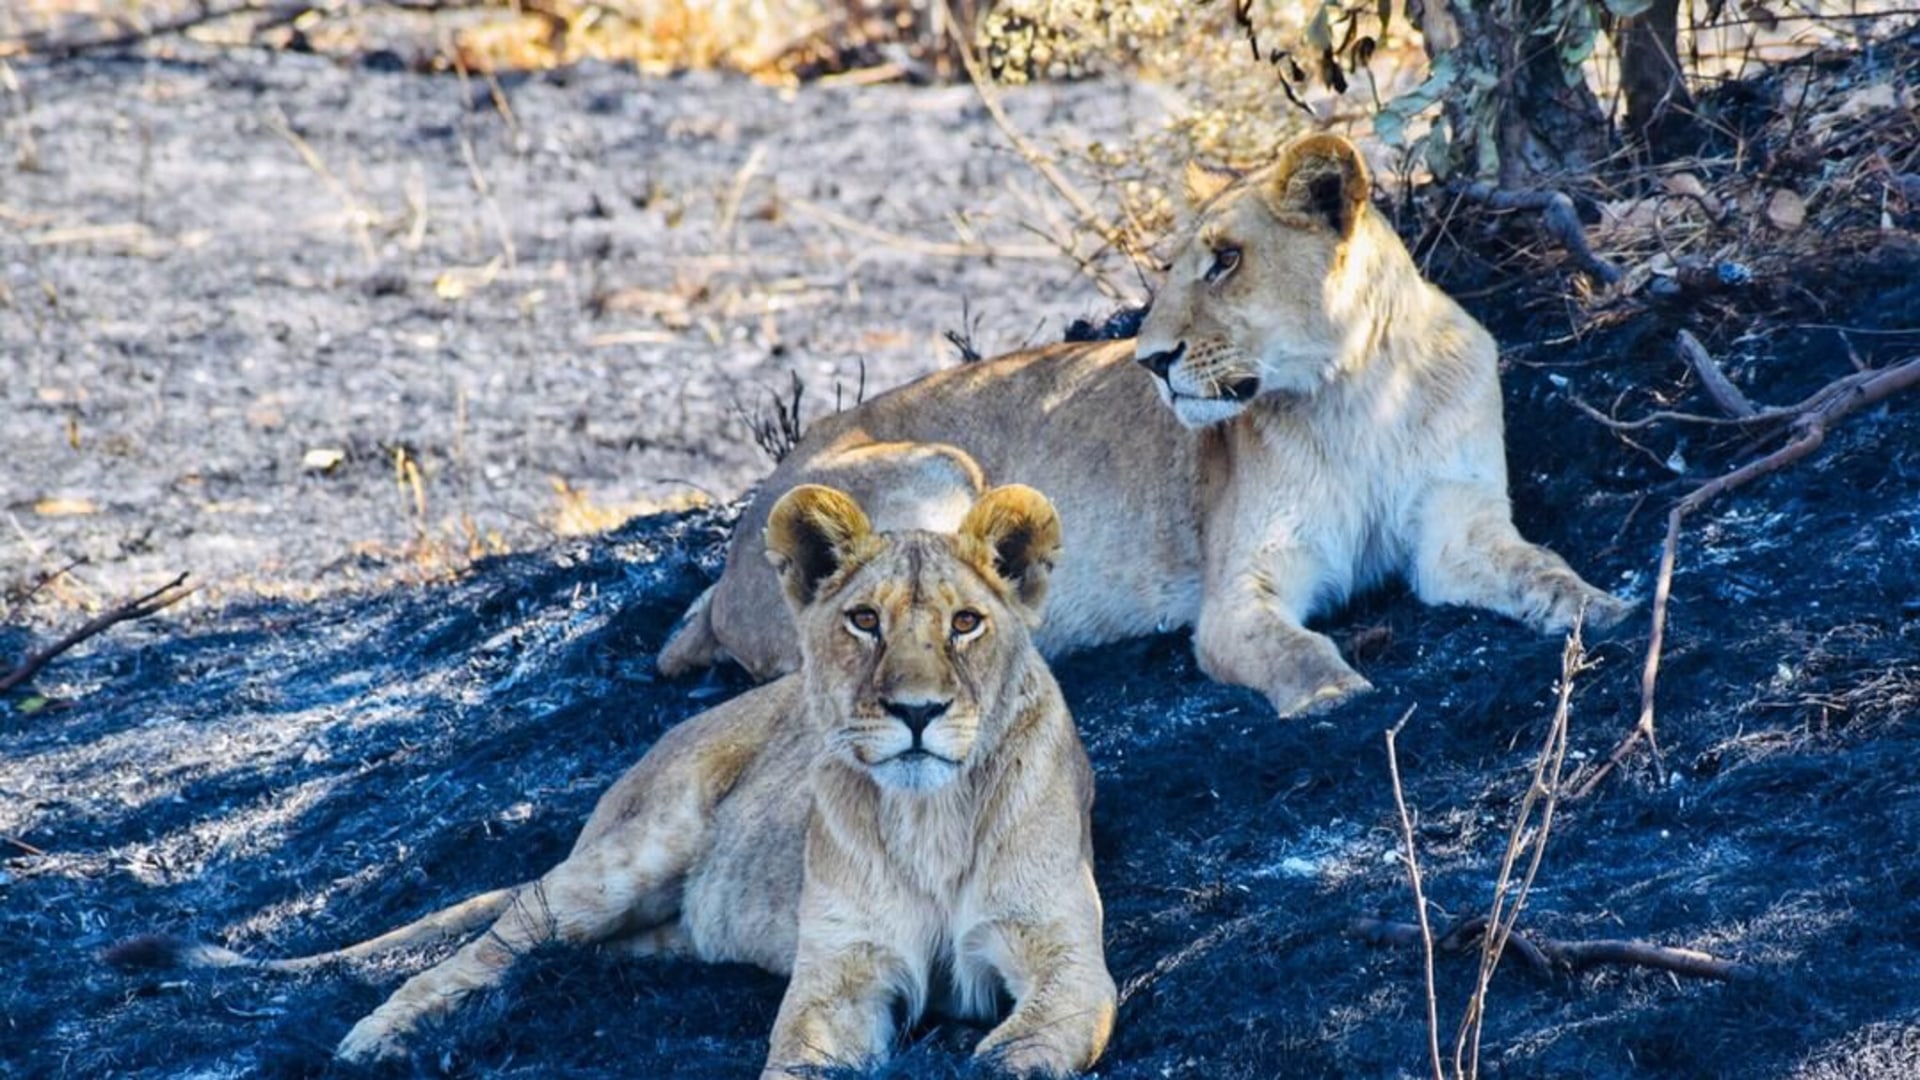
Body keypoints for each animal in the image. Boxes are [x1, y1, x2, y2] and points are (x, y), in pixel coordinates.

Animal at [109, 484, 1117, 1079]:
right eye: (864, 620)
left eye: (965, 624)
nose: (915, 710)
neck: (929, 815)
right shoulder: (839, 974)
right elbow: (799, 1056)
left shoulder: (1067, 957)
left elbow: (1030, 1043)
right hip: (630, 854)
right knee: (484, 945)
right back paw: (377, 1038)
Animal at [660, 133, 1631, 716]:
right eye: (1168, 268)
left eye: (1226, 261)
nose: (1149, 360)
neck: (1353, 394)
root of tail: (725, 571)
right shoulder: (1240, 591)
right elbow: (1290, 646)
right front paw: (1335, 694)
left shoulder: (1457, 532)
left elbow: (1540, 569)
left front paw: (1605, 610)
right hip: (938, 465)